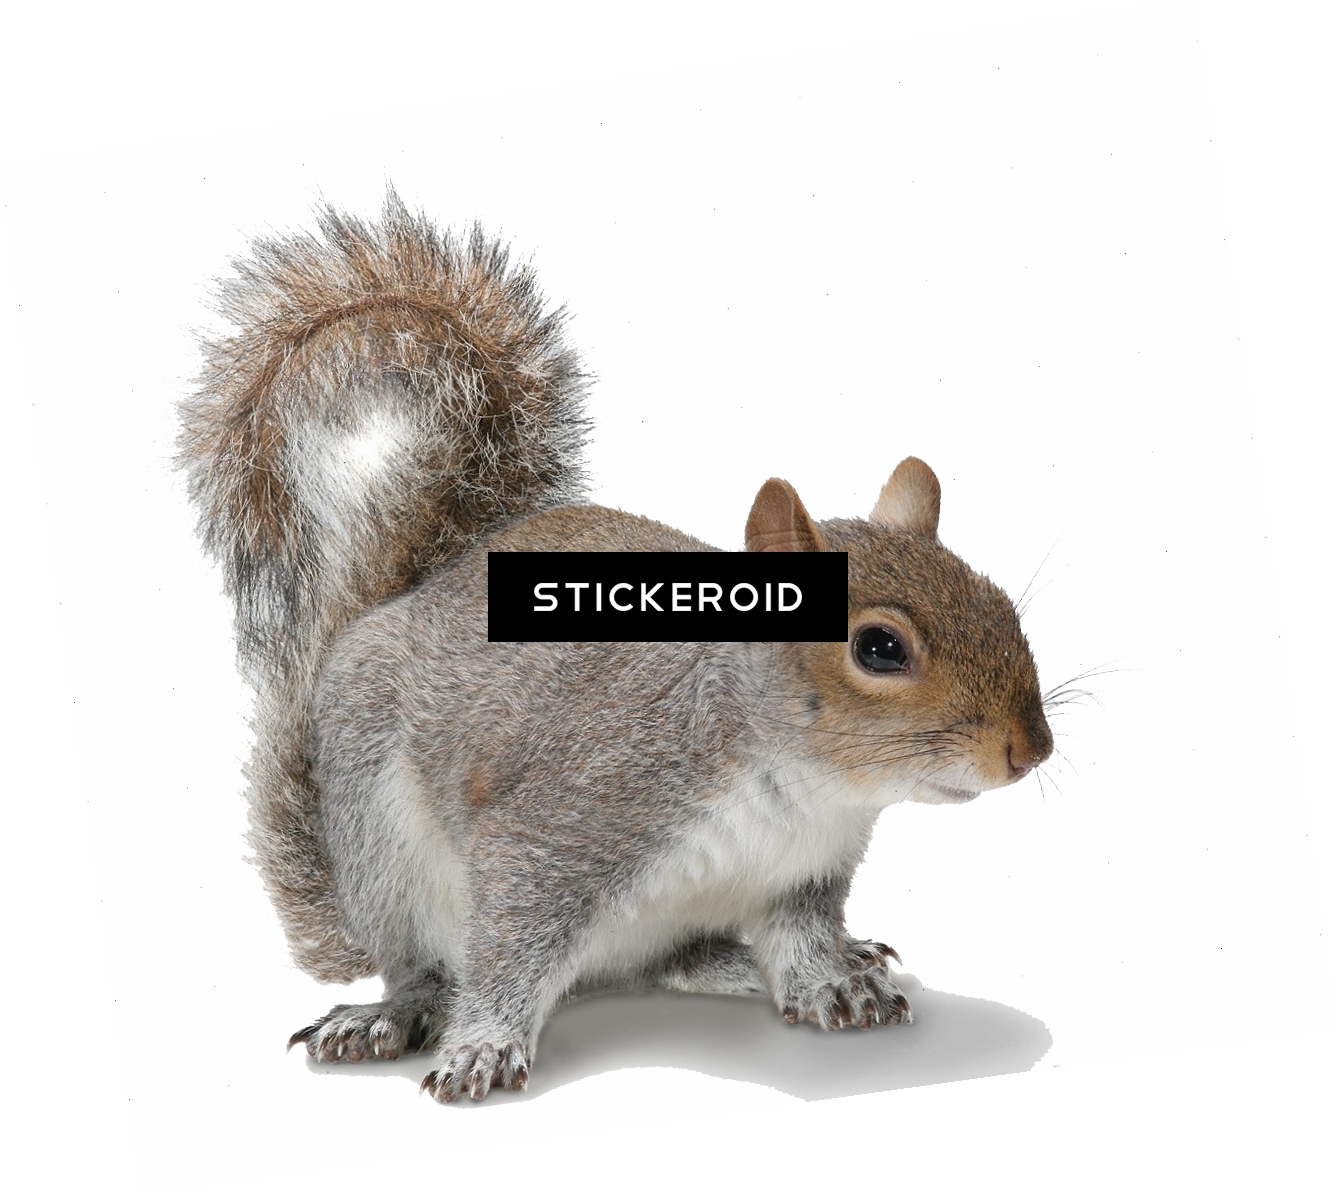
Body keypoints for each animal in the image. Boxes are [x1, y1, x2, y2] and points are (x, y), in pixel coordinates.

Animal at [172, 187, 1055, 1103]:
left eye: (998, 600)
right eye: (880, 649)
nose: (1029, 749)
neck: (799, 791)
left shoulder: (802, 876)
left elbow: (801, 938)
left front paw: (831, 982)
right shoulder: (564, 823)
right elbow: (508, 946)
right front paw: (481, 1046)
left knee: (668, 961)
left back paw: (766, 960)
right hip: (376, 834)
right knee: (426, 964)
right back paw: (393, 1012)